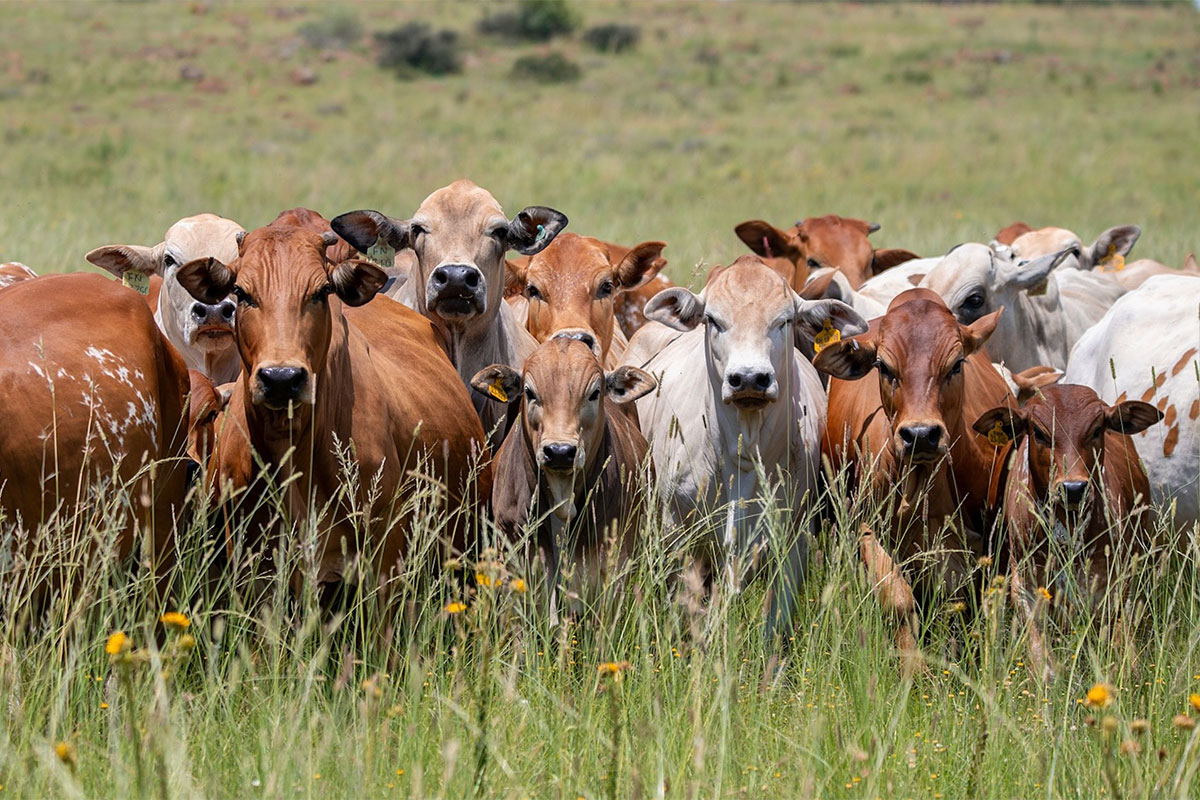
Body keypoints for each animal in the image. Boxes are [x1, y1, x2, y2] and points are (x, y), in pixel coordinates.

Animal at [627, 254, 868, 643]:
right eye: (713, 320)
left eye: (784, 320)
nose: (750, 379)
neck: (742, 454)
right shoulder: (675, 537)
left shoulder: (794, 543)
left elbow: (775, 626)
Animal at [814, 289, 1013, 674]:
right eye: (884, 367)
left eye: (956, 364)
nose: (920, 434)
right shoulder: (869, 530)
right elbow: (898, 601)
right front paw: (913, 670)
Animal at [972, 385, 1161, 680]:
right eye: (1039, 432)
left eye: (1097, 429)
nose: (1073, 488)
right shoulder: (1025, 586)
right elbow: (1045, 666)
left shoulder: (1111, 586)